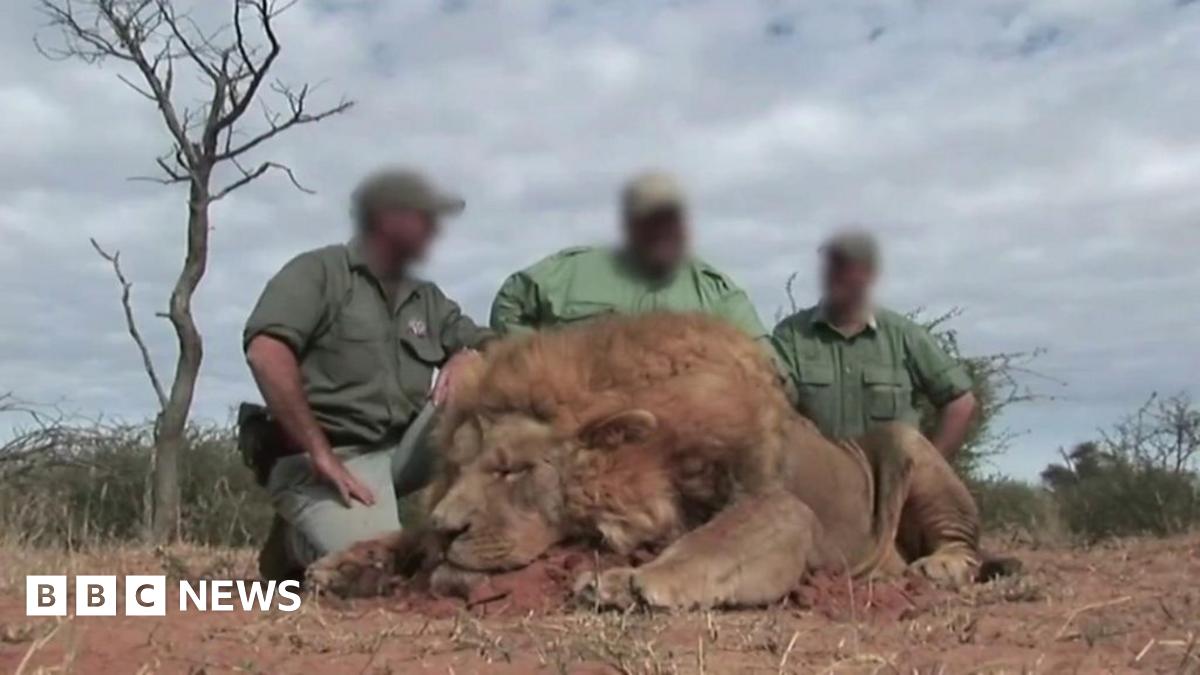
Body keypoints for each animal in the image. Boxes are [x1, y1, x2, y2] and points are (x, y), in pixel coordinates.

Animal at [308, 313, 987, 609]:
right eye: (456, 470)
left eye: (512, 469)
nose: (450, 529)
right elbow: (401, 537)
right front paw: (346, 566)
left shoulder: (782, 506)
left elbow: (718, 538)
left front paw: (625, 580)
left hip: (906, 443)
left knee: (964, 543)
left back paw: (940, 568)